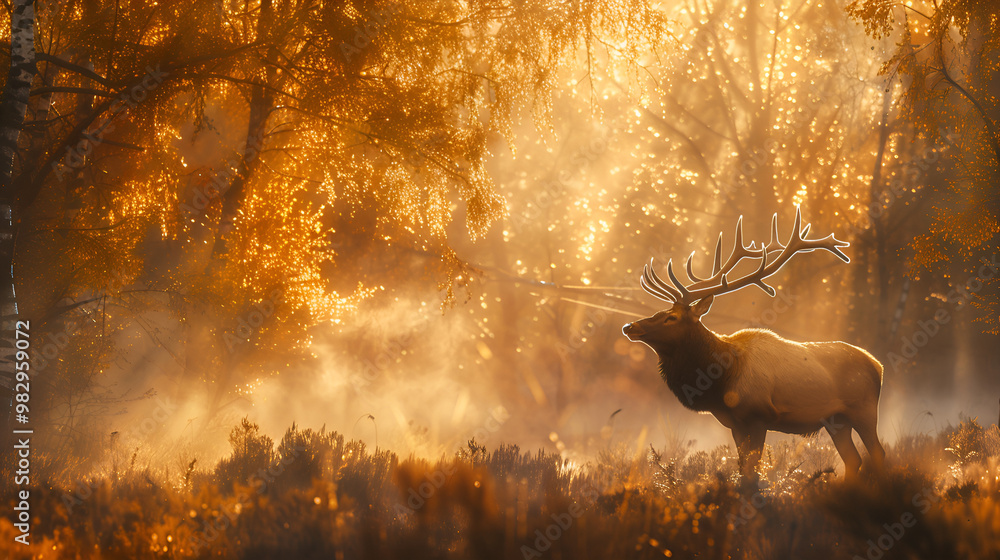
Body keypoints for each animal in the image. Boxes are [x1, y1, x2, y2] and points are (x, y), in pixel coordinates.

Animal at [622, 207, 885, 488]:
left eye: (671, 318)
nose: (629, 326)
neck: (721, 381)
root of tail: (878, 366)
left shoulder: (758, 416)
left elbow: (753, 470)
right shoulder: (735, 424)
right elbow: (743, 469)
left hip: (864, 409)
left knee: (877, 452)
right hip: (837, 420)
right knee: (853, 459)